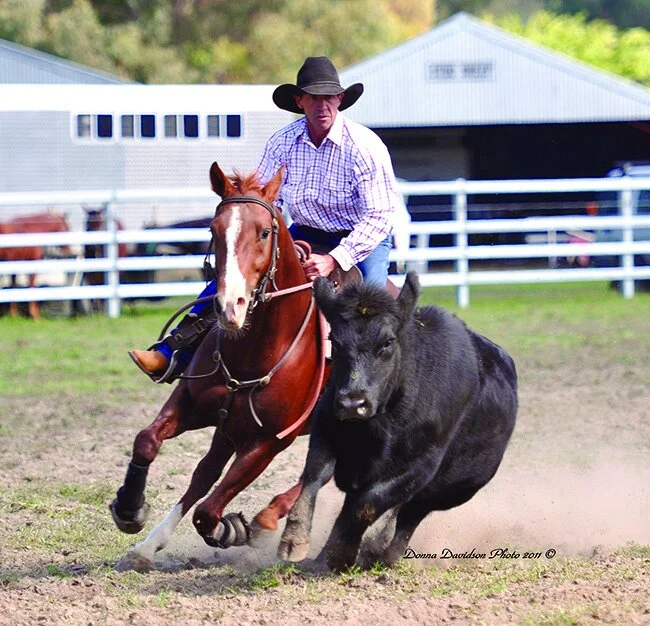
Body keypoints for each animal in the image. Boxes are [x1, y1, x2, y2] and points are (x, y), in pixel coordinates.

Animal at [110, 161, 327, 571]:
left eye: (264, 232)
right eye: (214, 229)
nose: (230, 306)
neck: (253, 351)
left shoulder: (268, 441)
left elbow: (208, 511)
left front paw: (231, 530)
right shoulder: (196, 406)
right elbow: (147, 442)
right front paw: (129, 510)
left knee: (319, 473)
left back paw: (267, 519)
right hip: (228, 427)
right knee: (204, 473)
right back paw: (150, 543)